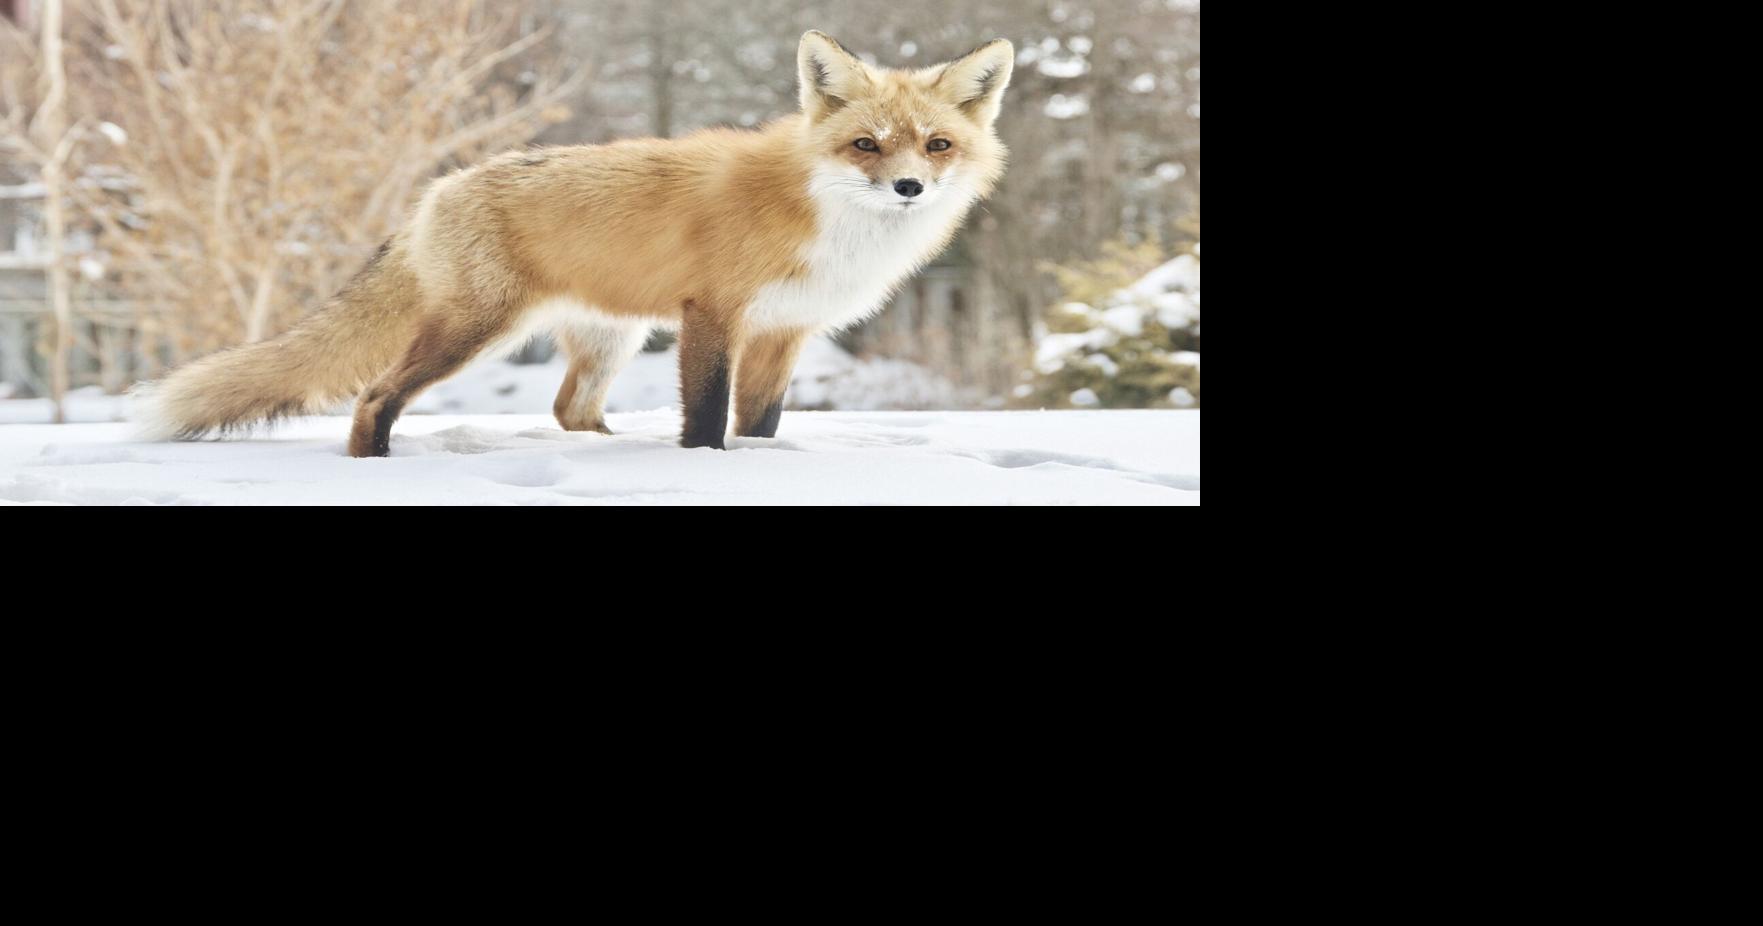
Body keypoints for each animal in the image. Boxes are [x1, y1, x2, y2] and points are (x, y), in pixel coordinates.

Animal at [136, 31, 1014, 457]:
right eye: (866, 146)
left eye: (936, 145)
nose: (909, 188)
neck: (825, 216)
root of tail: (435, 190)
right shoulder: (713, 313)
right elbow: (705, 416)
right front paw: (703, 473)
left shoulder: (785, 330)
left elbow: (757, 422)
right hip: (477, 332)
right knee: (374, 395)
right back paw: (375, 469)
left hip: (608, 339)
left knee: (568, 411)